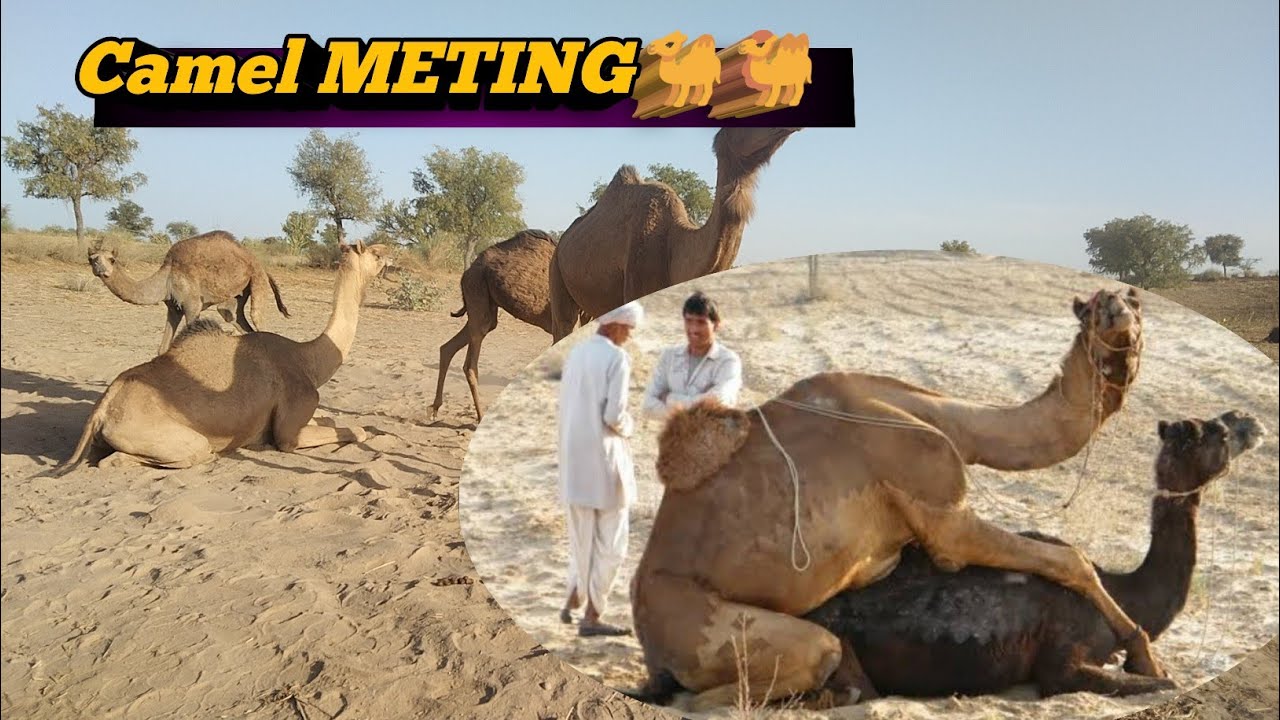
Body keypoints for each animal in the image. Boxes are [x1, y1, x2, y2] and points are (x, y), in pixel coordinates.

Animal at [88, 230, 291, 356]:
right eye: (92, 259)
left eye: (112, 259)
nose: (101, 269)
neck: (167, 277)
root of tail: (260, 264)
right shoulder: (173, 308)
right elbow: (163, 348)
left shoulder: (192, 305)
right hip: (237, 296)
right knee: (232, 316)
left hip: (257, 279)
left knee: (257, 318)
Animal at [430, 229, 566, 422]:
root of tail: (469, 269)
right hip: (477, 290)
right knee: (469, 365)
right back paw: (480, 417)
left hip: (484, 309)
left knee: (448, 347)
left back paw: (435, 408)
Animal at [627, 287, 1164, 712]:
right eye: (1091, 309)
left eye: (1134, 300)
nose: (1118, 311)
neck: (945, 419)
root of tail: (649, 636)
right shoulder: (942, 508)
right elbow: (1071, 559)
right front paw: (1144, 656)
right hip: (702, 626)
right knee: (735, 686)